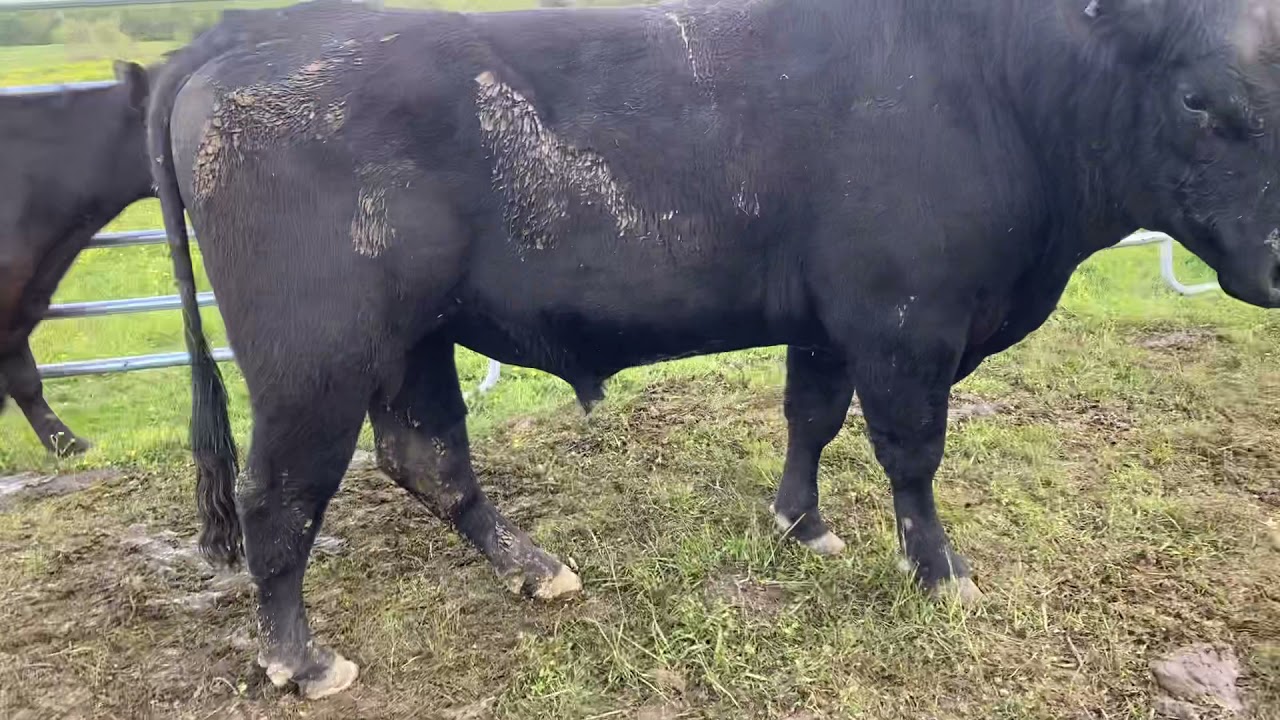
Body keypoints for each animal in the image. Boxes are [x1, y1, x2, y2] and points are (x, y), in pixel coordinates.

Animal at [146, 0, 1280, 699]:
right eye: (1198, 98)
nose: (1278, 264)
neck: (994, 83)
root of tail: (237, 38)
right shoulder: (905, 322)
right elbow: (911, 455)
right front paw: (937, 572)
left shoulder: (826, 323)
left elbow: (811, 417)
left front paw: (801, 524)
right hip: (313, 356)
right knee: (277, 497)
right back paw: (301, 660)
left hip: (412, 339)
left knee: (427, 457)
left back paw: (533, 570)